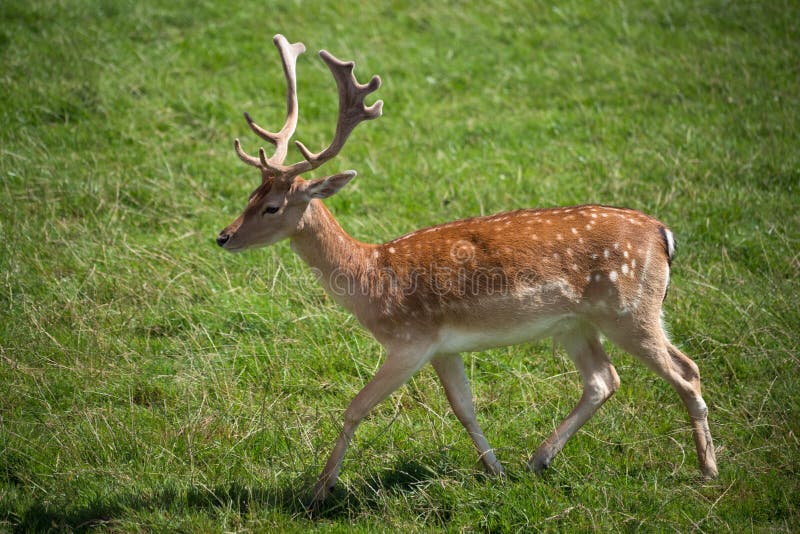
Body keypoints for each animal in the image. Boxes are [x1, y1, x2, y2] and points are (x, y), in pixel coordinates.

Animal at [216, 34, 718, 505]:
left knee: (683, 373)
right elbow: (464, 408)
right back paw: (538, 459)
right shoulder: (443, 347)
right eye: (249, 195)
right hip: (578, 323)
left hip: (629, 309)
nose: (223, 236)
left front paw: (320, 490)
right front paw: (495, 471)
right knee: (608, 379)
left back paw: (708, 470)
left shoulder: (410, 341)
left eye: (273, 206)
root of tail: (663, 234)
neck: (372, 279)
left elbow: (355, 408)